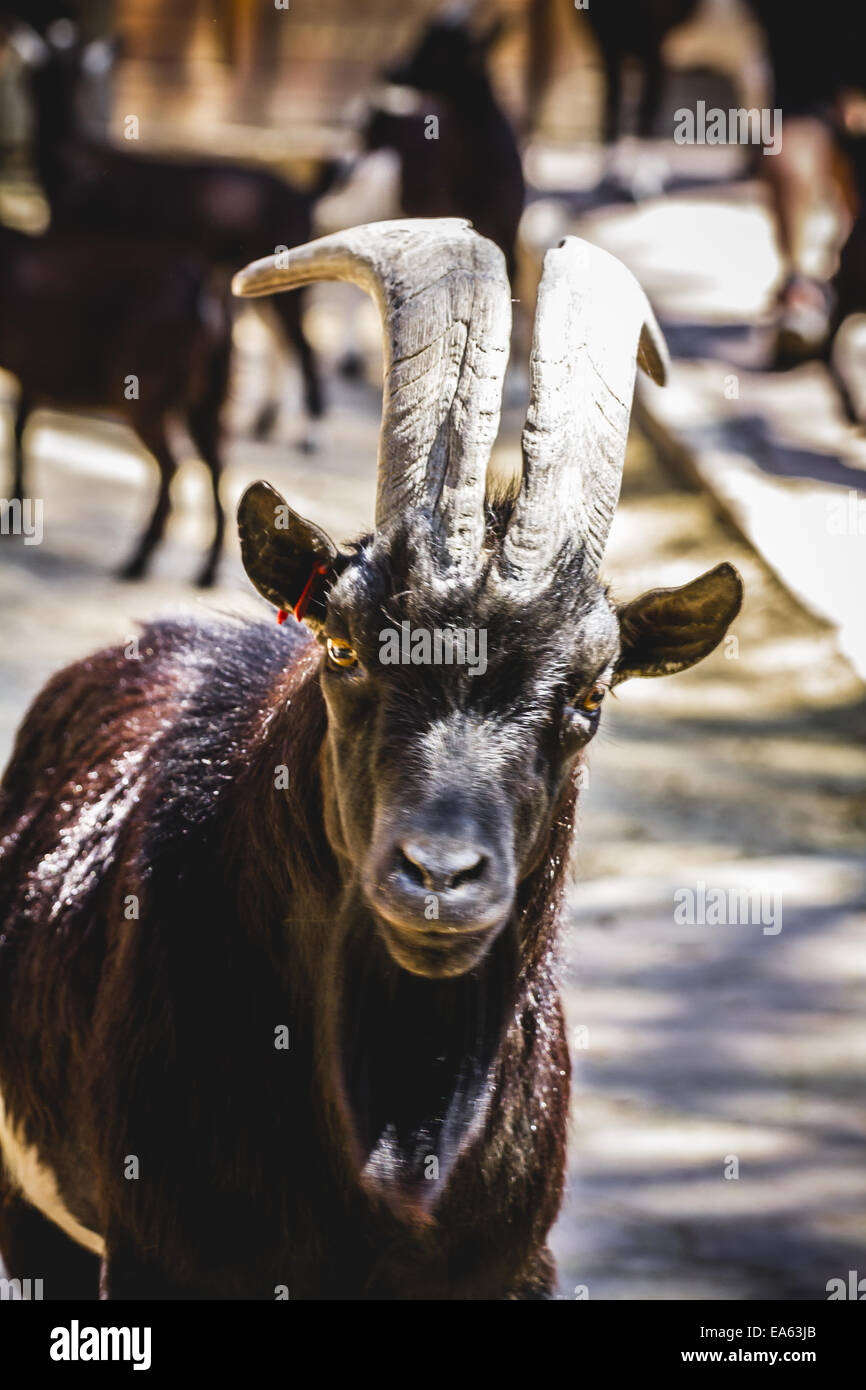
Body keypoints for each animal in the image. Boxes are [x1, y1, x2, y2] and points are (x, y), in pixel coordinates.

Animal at [0, 224, 229, 583]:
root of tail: (202, 286)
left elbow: (18, 431)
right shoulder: (30, 377)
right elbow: (21, 430)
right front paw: (16, 509)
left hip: (143, 397)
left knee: (172, 465)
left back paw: (137, 560)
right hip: (207, 398)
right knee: (216, 464)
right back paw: (206, 571)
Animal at [11, 21, 335, 442]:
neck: (75, 161)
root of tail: (305, 194)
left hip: (286, 282)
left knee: (304, 348)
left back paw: (309, 434)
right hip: (267, 281)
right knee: (280, 340)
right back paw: (263, 419)